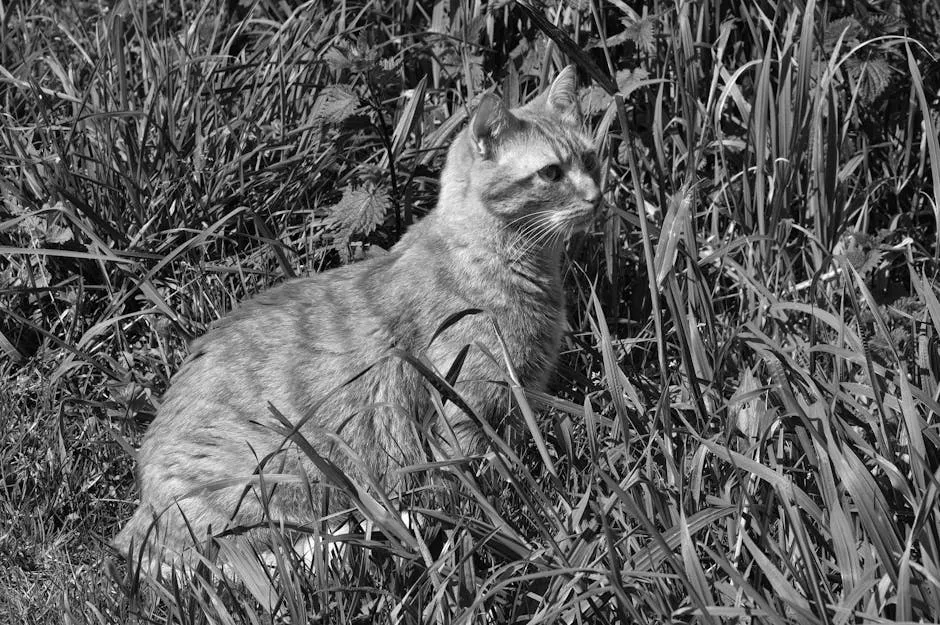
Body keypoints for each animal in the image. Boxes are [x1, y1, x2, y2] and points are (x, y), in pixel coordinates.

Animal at [112, 64, 604, 576]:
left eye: (591, 159)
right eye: (551, 173)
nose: (597, 196)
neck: (501, 261)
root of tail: (139, 518)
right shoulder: (467, 410)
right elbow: (484, 486)